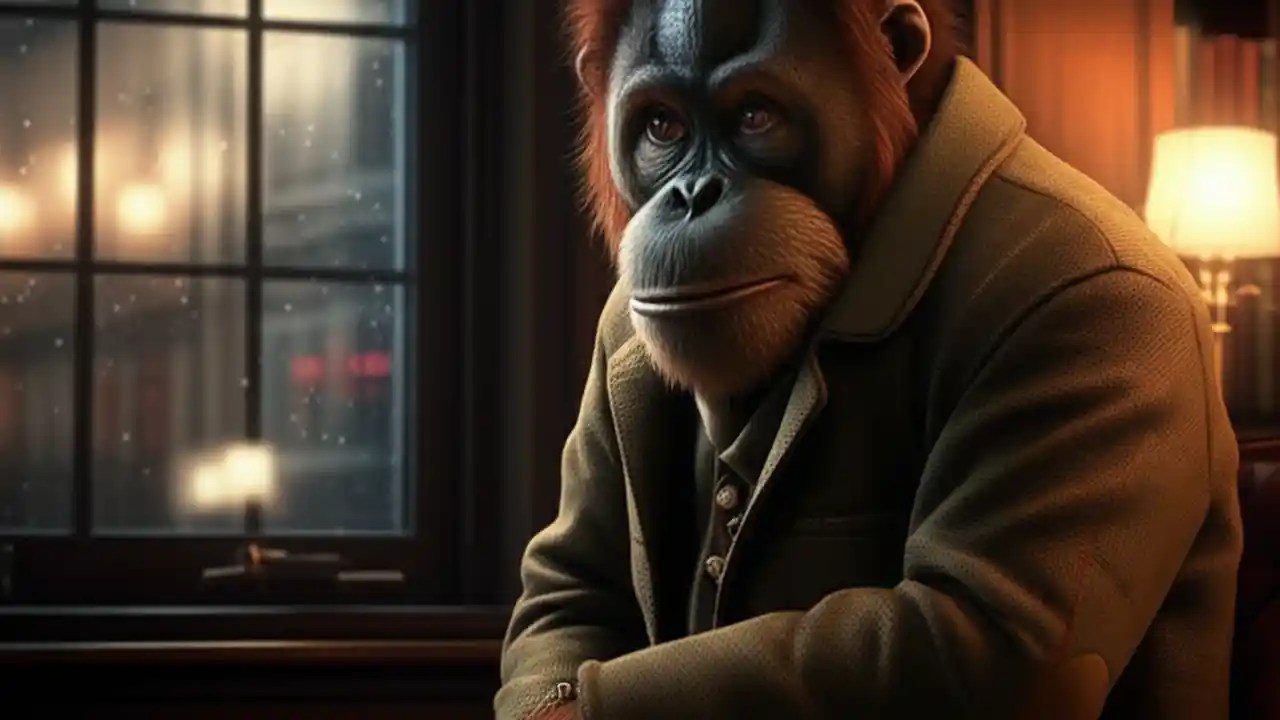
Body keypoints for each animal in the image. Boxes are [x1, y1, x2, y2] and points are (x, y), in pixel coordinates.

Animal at [498, 1, 1243, 719]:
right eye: (661, 126)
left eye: (755, 114)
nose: (692, 194)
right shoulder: (613, 331)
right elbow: (572, 578)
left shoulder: (1086, 308)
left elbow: (977, 633)